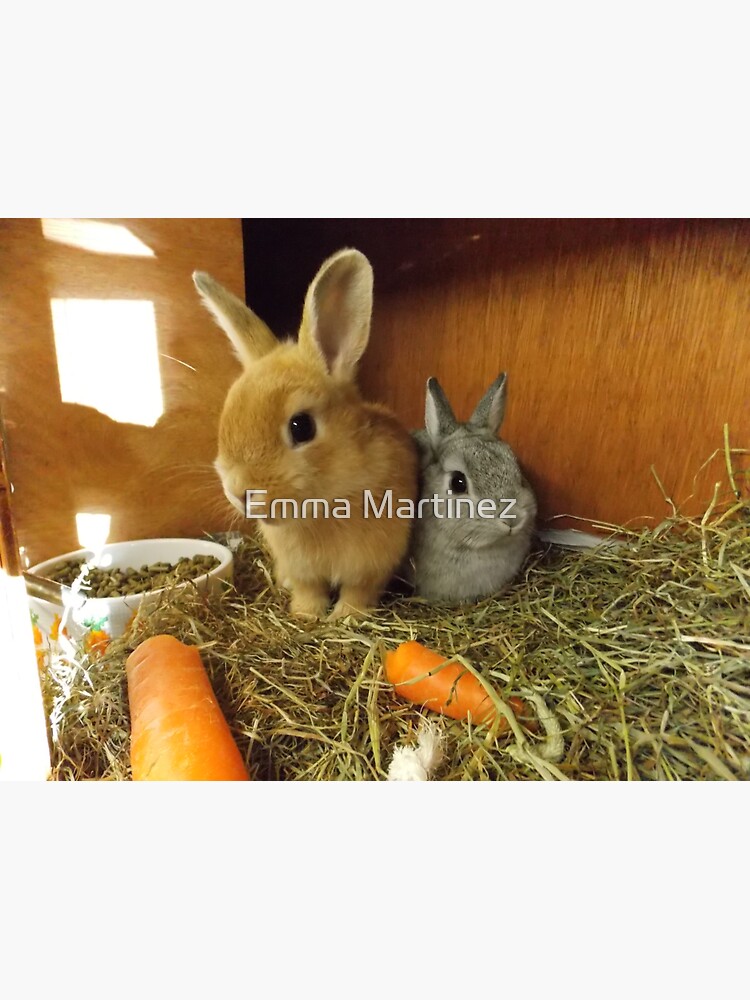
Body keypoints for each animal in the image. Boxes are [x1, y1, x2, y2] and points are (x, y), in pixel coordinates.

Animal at [193, 248, 419, 620]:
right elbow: (309, 589)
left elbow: (357, 592)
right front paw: (306, 615)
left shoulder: (372, 564)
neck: (326, 504)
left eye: (302, 427)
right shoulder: (302, 569)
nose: (239, 492)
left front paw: (346, 617)